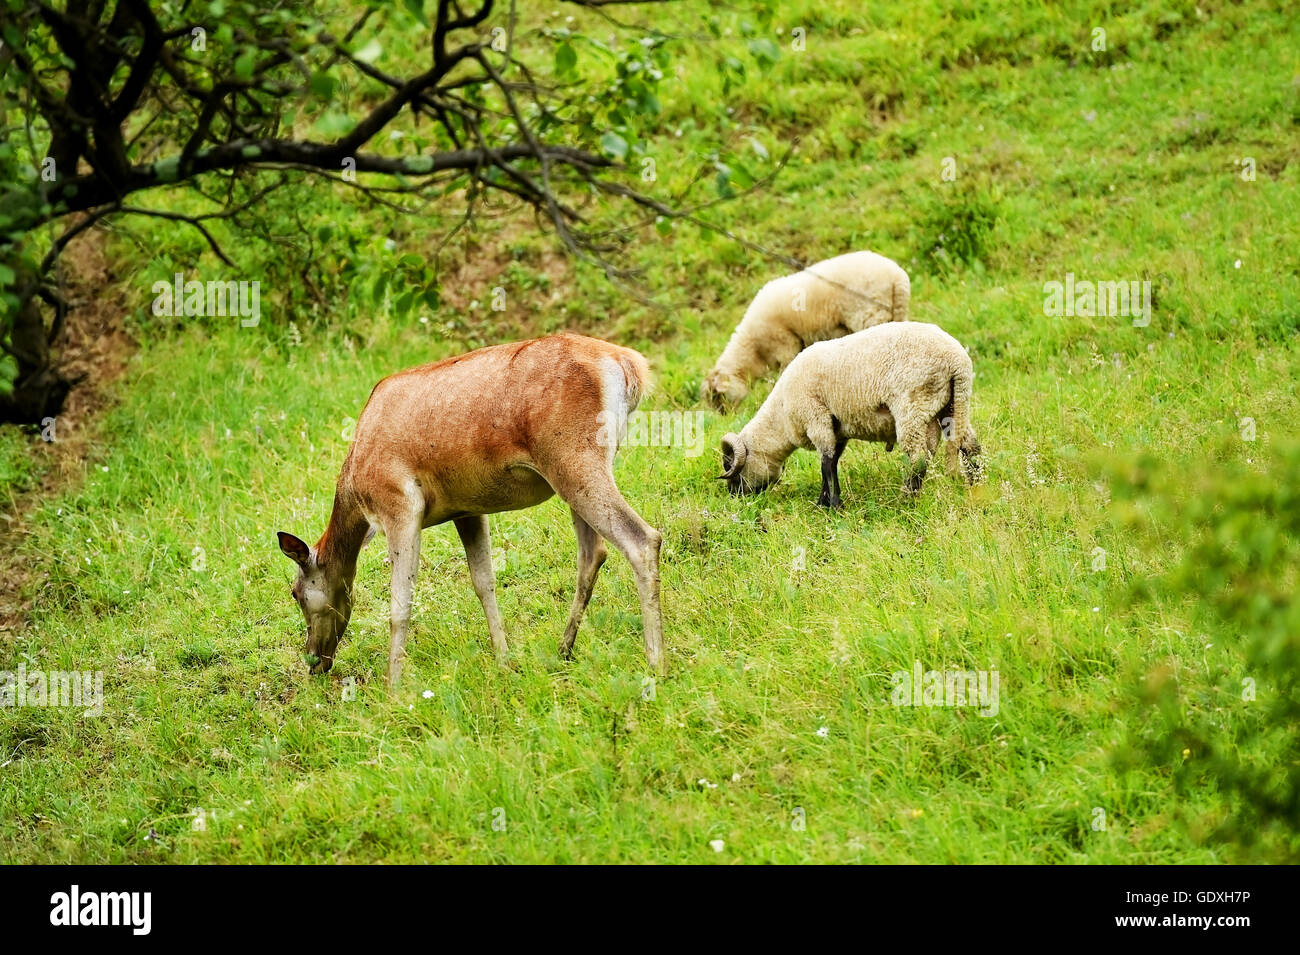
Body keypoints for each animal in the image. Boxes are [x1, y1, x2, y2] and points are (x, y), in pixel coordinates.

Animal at [276, 333, 664, 687]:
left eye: (295, 592)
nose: (314, 659)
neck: (356, 492)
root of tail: (629, 365)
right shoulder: (467, 510)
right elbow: (484, 583)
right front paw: (504, 660)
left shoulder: (399, 505)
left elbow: (400, 604)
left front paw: (394, 687)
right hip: (578, 472)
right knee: (593, 552)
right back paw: (564, 649)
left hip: (573, 458)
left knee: (642, 539)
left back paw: (655, 661)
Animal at [702, 249, 911, 408]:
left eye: (717, 397)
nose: (727, 416)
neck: (753, 349)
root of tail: (897, 276)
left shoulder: (784, 344)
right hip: (895, 315)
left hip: (869, 314)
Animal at [717, 322, 982, 507]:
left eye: (729, 465)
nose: (733, 495)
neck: (781, 416)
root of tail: (957, 360)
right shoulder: (838, 428)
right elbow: (833, 461)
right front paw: (826, 500)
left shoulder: (816, 417)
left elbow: (826, 462)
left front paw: (831, 505)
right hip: (952, 405)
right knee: (971, 446)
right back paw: (976, 486)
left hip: (912, 405)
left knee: (917, 458)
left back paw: (907, 499)